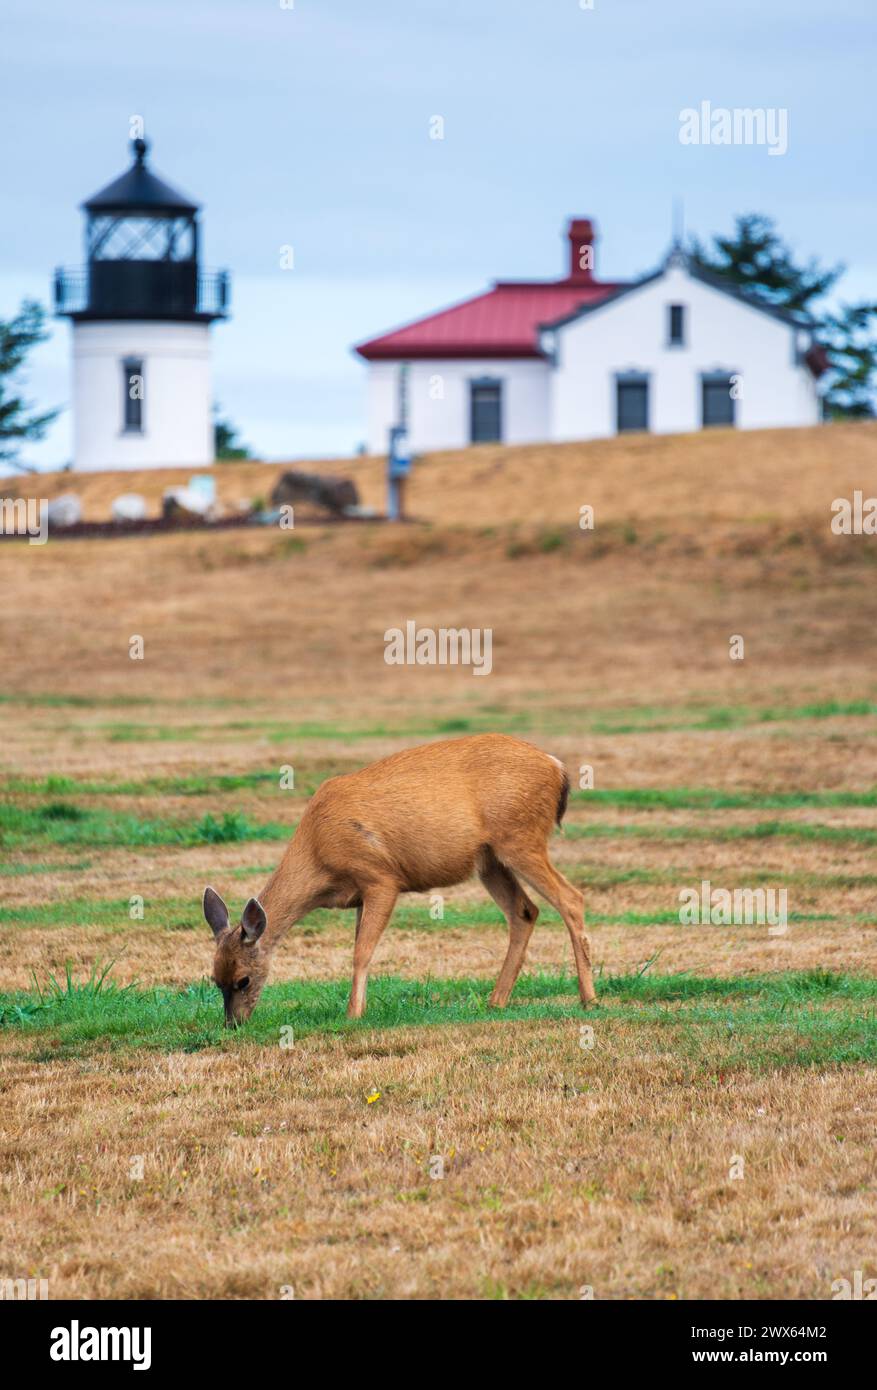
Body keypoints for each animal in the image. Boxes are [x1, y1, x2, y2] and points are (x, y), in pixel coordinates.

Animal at [203, 733, 597, 1027]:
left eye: (243, 980)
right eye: (214, 979)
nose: (233, 1024)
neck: (318, 856)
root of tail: (556, 766)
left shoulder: (380, 878)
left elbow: (362, 951)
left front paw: (353, 1015)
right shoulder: (358, 897)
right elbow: (358, 947)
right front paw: (356, 1007)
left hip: (520, 837)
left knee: (571, 898)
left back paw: (589, 999)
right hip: (490, 860)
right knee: (524, 911)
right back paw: (495, 1001)